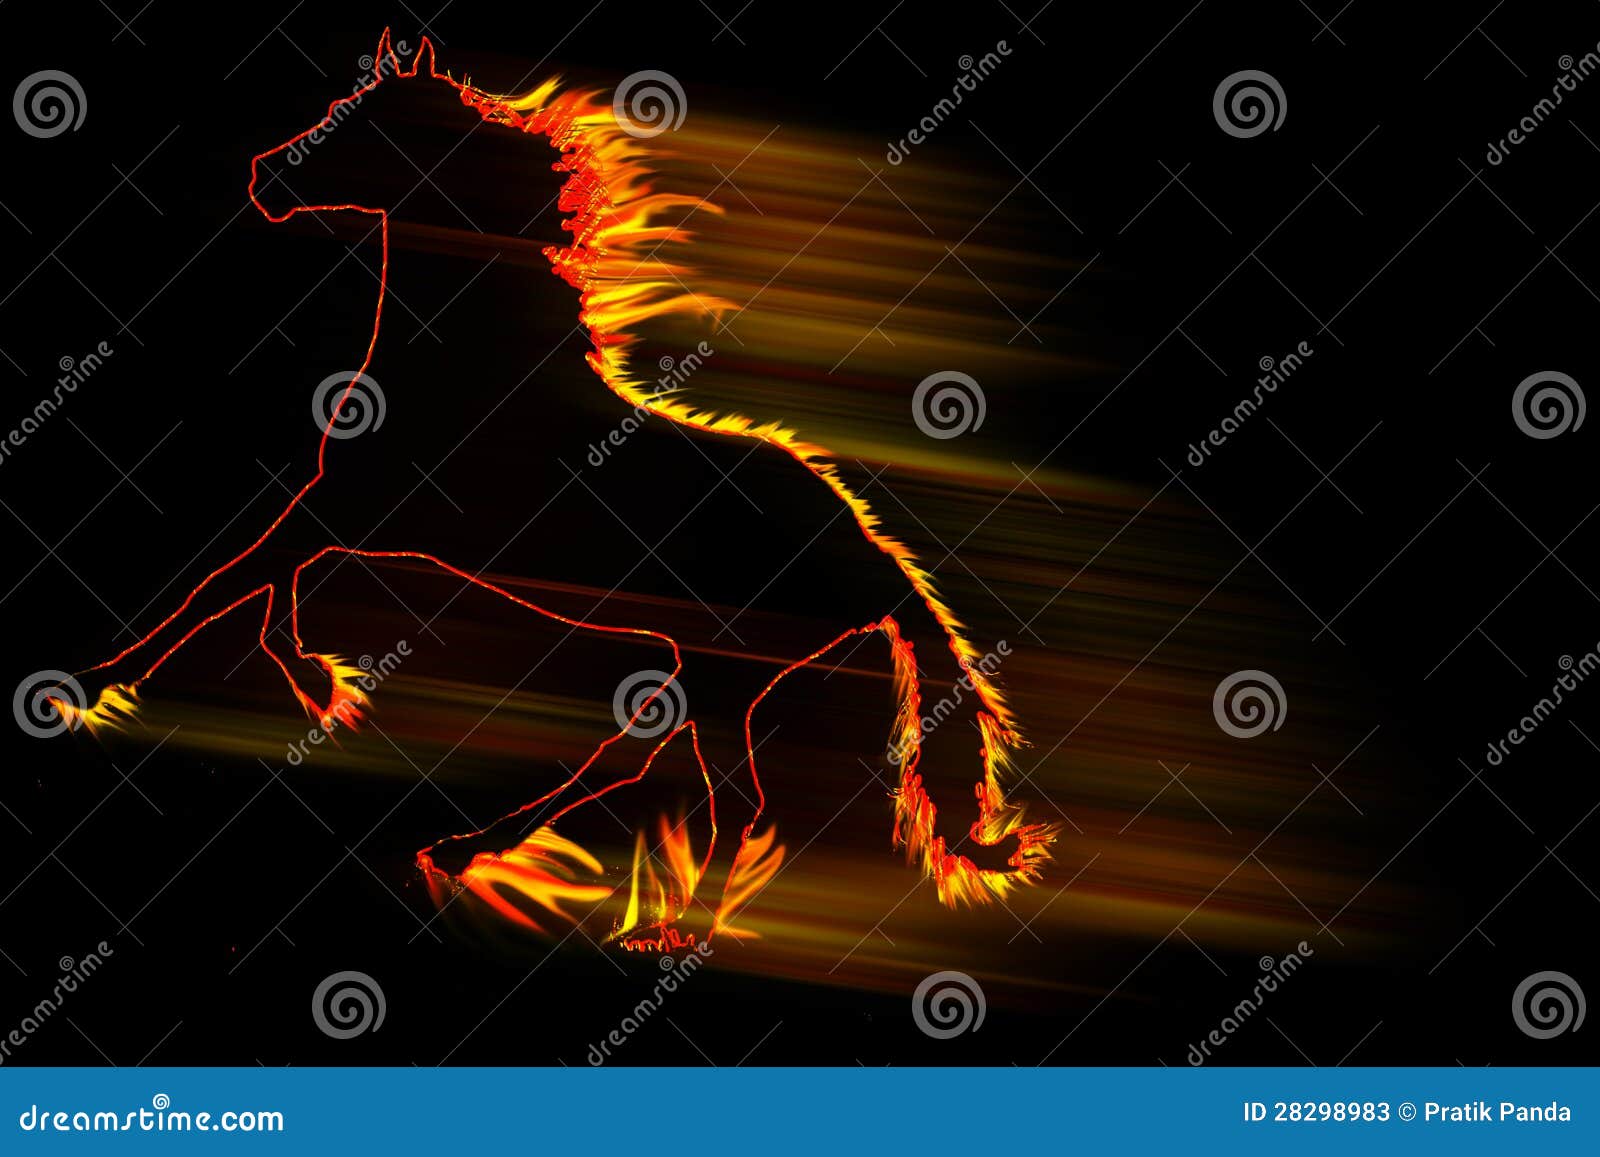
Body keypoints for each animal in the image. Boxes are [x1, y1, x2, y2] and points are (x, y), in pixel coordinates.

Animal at [42, 30, 1057, 947]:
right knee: (637, 761)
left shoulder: (351, 509)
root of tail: (870, 549)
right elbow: (260, 580)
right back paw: (472, 852)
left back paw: (666, 932)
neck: (466, 361)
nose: (262, 179)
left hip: (729, 677)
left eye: (359, 121)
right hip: (690, 666)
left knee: (730, 800)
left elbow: (231, 575)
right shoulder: (345, 509)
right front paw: (318, 683)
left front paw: (87, 686)